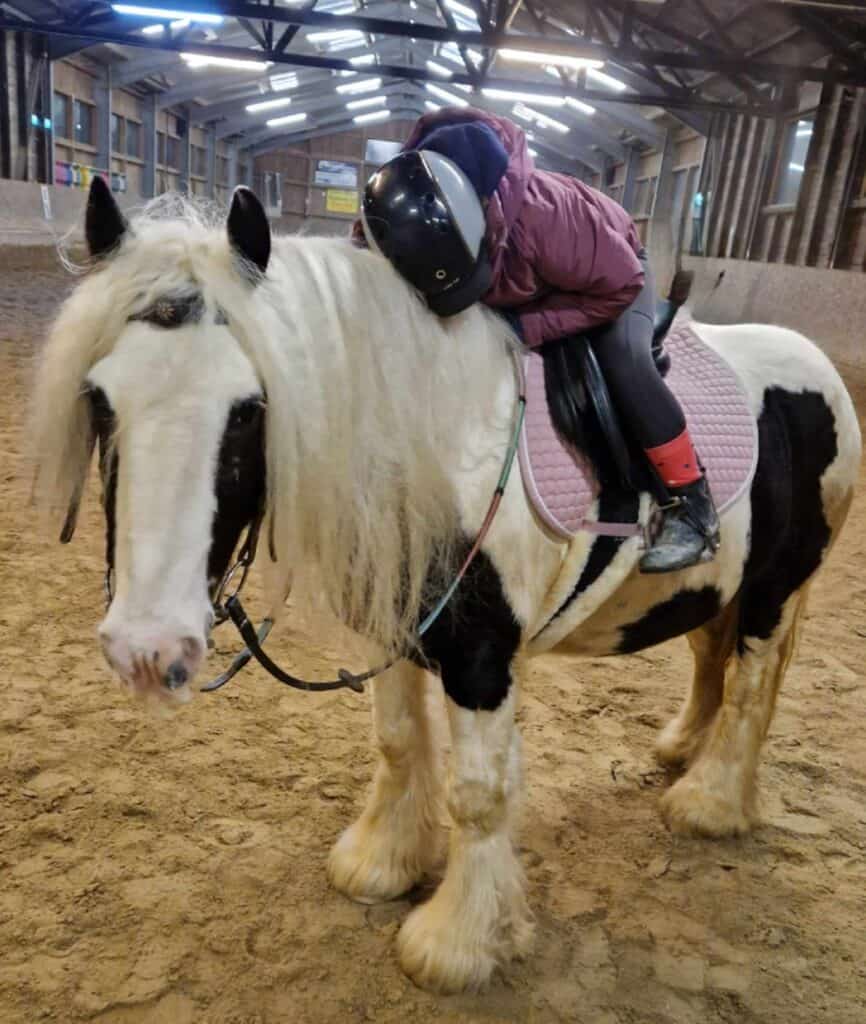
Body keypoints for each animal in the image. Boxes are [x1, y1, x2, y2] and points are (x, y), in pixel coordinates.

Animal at [32, 178, 861, 994]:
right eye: (99, 399)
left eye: (250, 410)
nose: (145, 648)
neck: (434, 438)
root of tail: (818, 369)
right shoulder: (395, 627)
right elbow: (398, 743)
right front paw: (383, 862)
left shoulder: (481, 660)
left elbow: (478, 794)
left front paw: (458, 942)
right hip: (714, 591)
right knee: (708, 655)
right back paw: (682, 748)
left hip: (775, 589)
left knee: (751, 682)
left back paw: (709, 801)